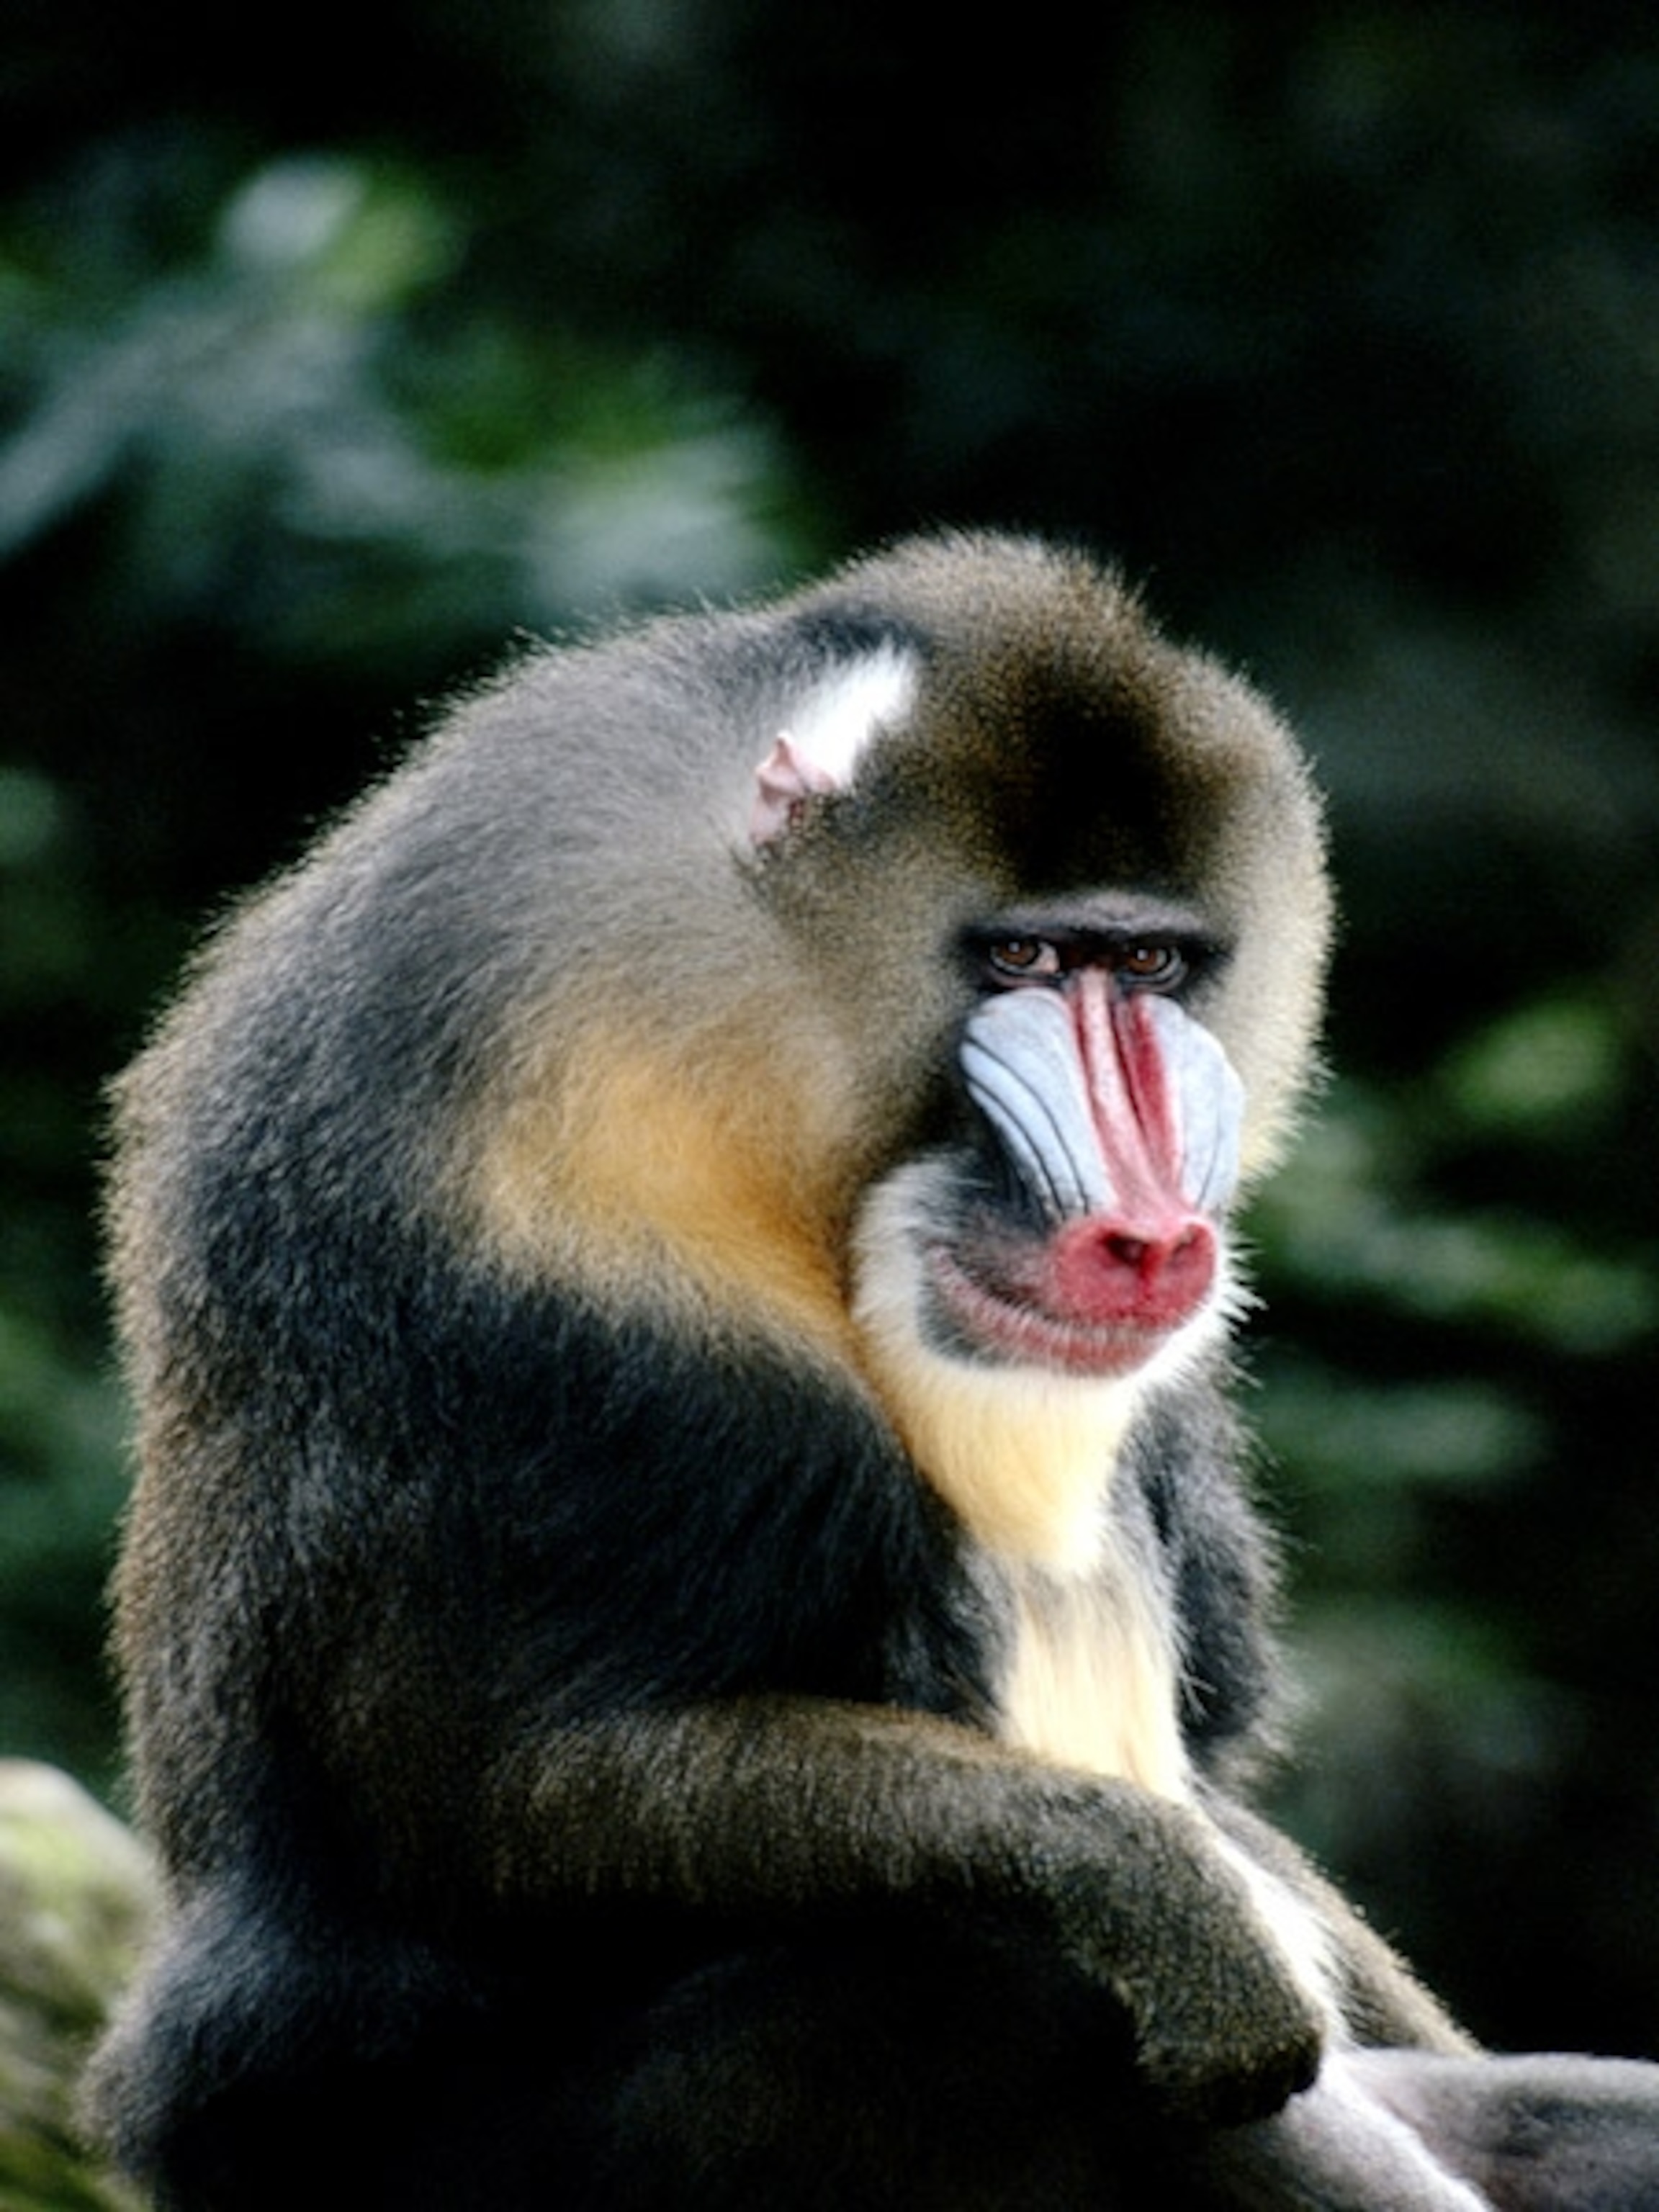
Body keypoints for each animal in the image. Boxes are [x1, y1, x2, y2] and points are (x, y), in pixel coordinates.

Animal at [83, 530, 1659, 2209]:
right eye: (1022, 958)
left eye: (1148, 967)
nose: (1148, 1236)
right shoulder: (546, 1234)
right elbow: (519, 1784)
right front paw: (1156, 1895)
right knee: (1006, 1980)